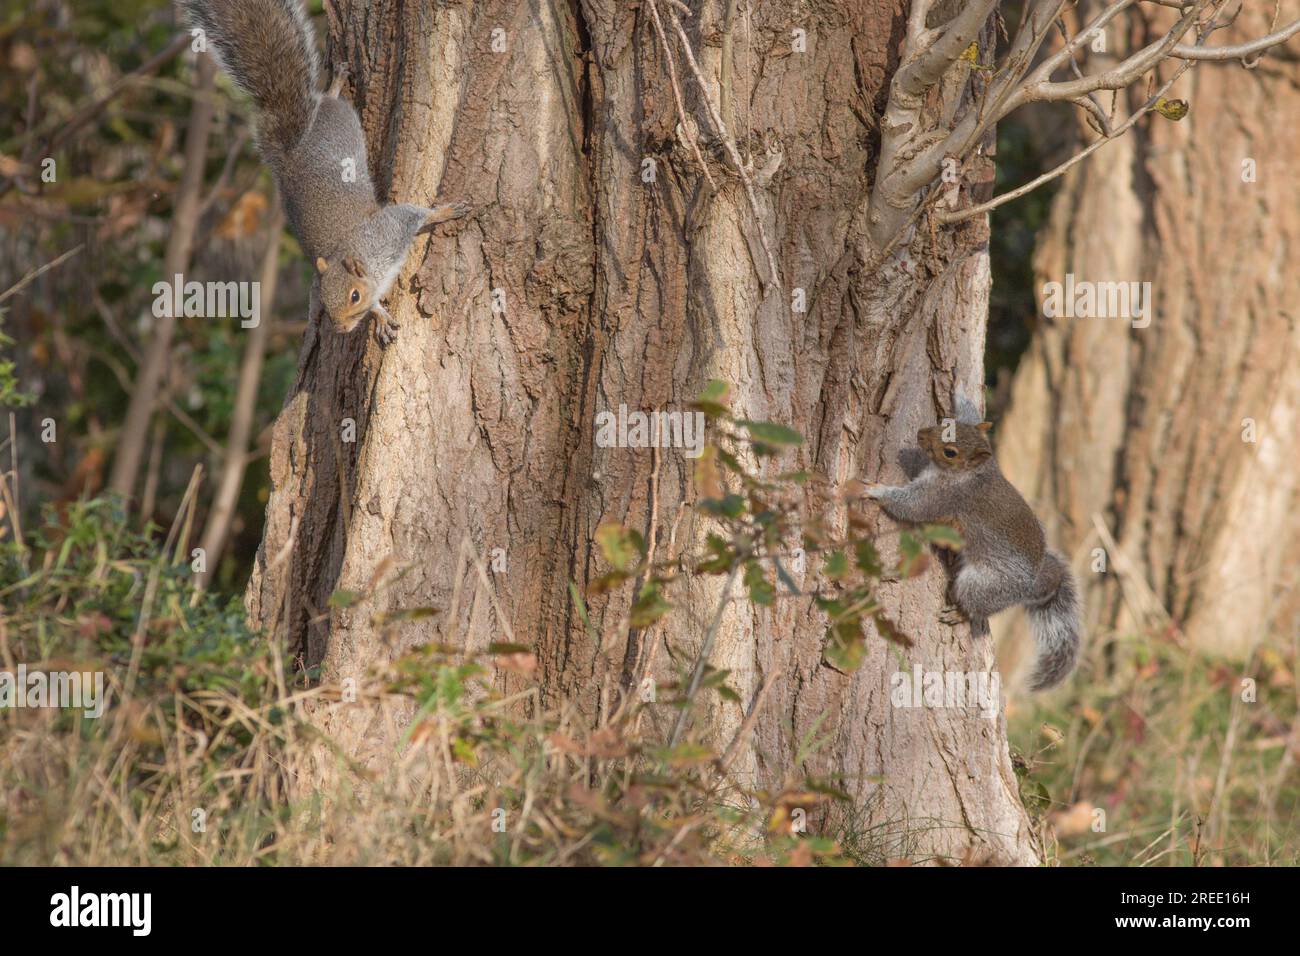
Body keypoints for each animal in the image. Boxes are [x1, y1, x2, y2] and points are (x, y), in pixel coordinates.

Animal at [179, 0, 469, 345]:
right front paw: (380, 317)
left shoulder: (389, 230)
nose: (340, 328)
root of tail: (291, 152)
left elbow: (415, 214)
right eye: (328, 303)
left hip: (339, 119)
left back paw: (335, 85)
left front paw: (445, 212)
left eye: (354, 296)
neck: (360, 255)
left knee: (328, 99)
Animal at [864, 395, 1081, 691]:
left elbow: (914, 506)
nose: (920, 434)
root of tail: (1036, 583)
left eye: (950, 452)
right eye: (947, 422)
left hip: (984, 584)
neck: (974, 472)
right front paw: (962, 395)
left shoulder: (944, 497)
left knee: (975, 605)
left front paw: (877, 491)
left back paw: (959, 614)